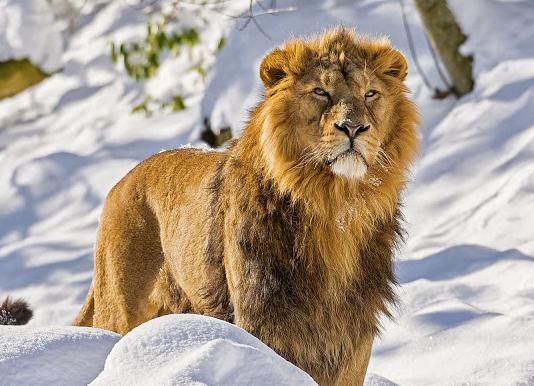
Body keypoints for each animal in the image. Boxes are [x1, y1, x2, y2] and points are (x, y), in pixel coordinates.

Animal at [75, 27, 420, 386]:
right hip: (119, 308)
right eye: (320, 91)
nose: (352, 127)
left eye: (370, 94)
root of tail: (121, 183)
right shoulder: (263, 315)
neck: (335, 206)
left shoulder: (354, 331)